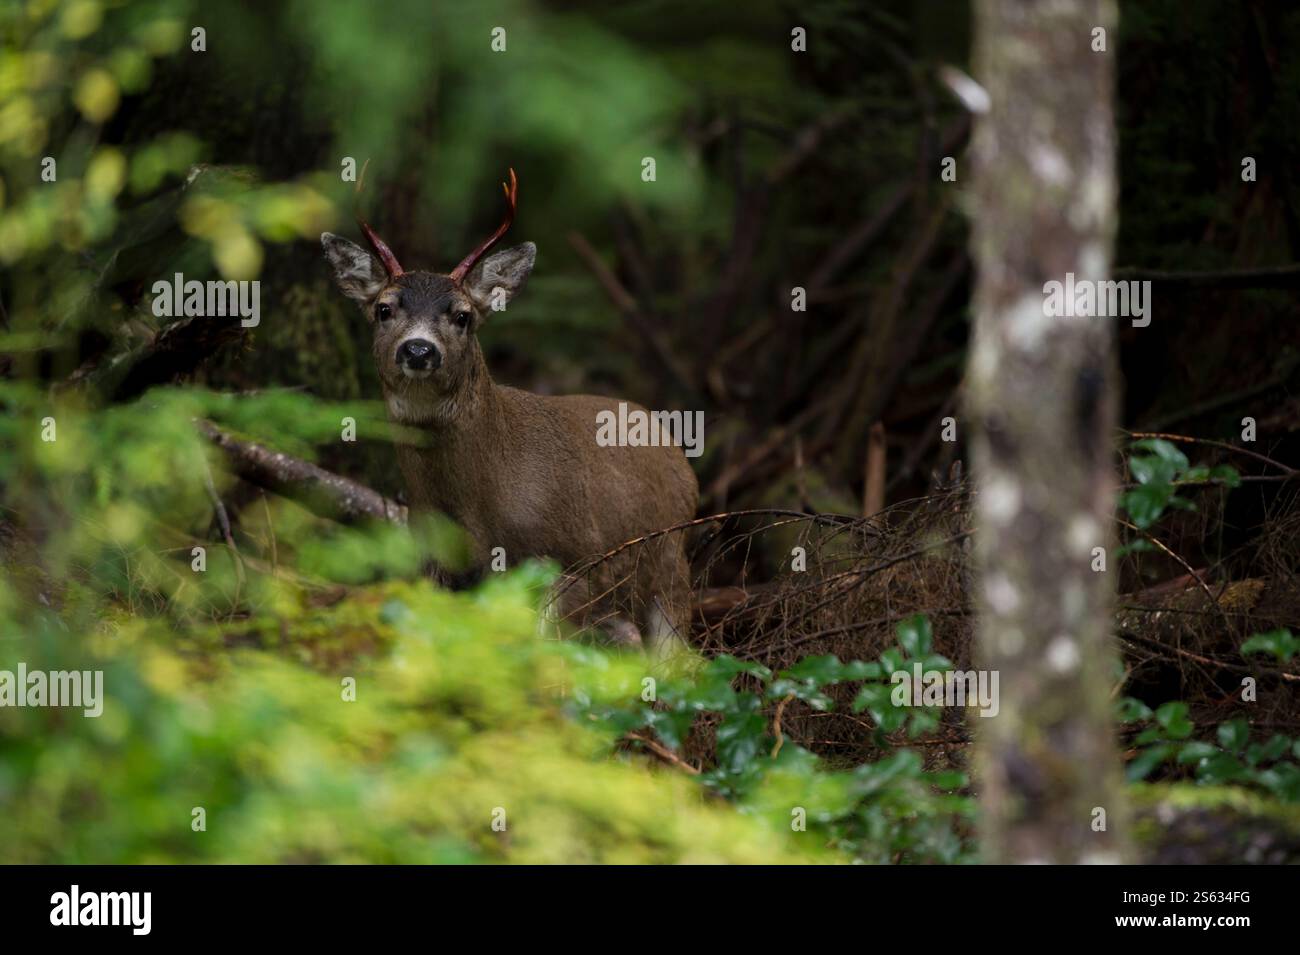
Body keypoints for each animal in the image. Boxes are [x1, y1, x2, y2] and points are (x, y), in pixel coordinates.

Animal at [321, 170, 698, 661]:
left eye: (463, 316)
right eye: (384, 309)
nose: (419, 350)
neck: (481, 507)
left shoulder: (574, 557)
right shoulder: (436, 563)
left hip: (671, 558)